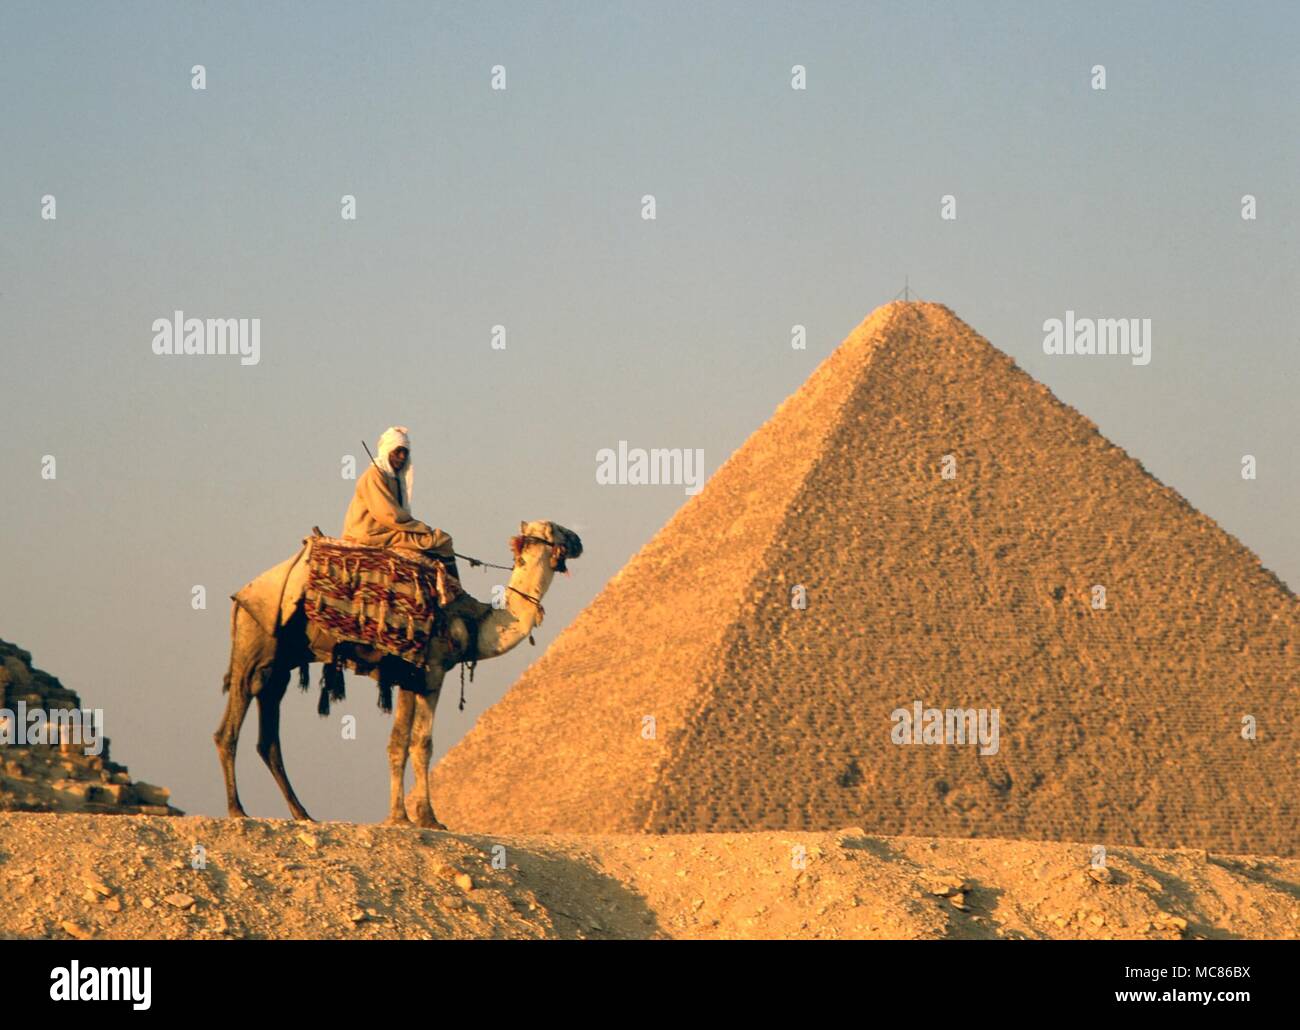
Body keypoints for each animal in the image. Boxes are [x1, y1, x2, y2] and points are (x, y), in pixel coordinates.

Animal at [214, 520, 582, 828]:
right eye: (556, 530)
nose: (579, 540)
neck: (474, 620)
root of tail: (239, 597)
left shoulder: (414, 677)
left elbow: (408, 743)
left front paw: (415, 816)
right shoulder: (430, 671)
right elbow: (413, 742)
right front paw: (413, 818)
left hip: (279, 665)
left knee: (268, 739)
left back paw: (302, 813)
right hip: (254, 646)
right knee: (228, 728)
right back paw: (237, 810)